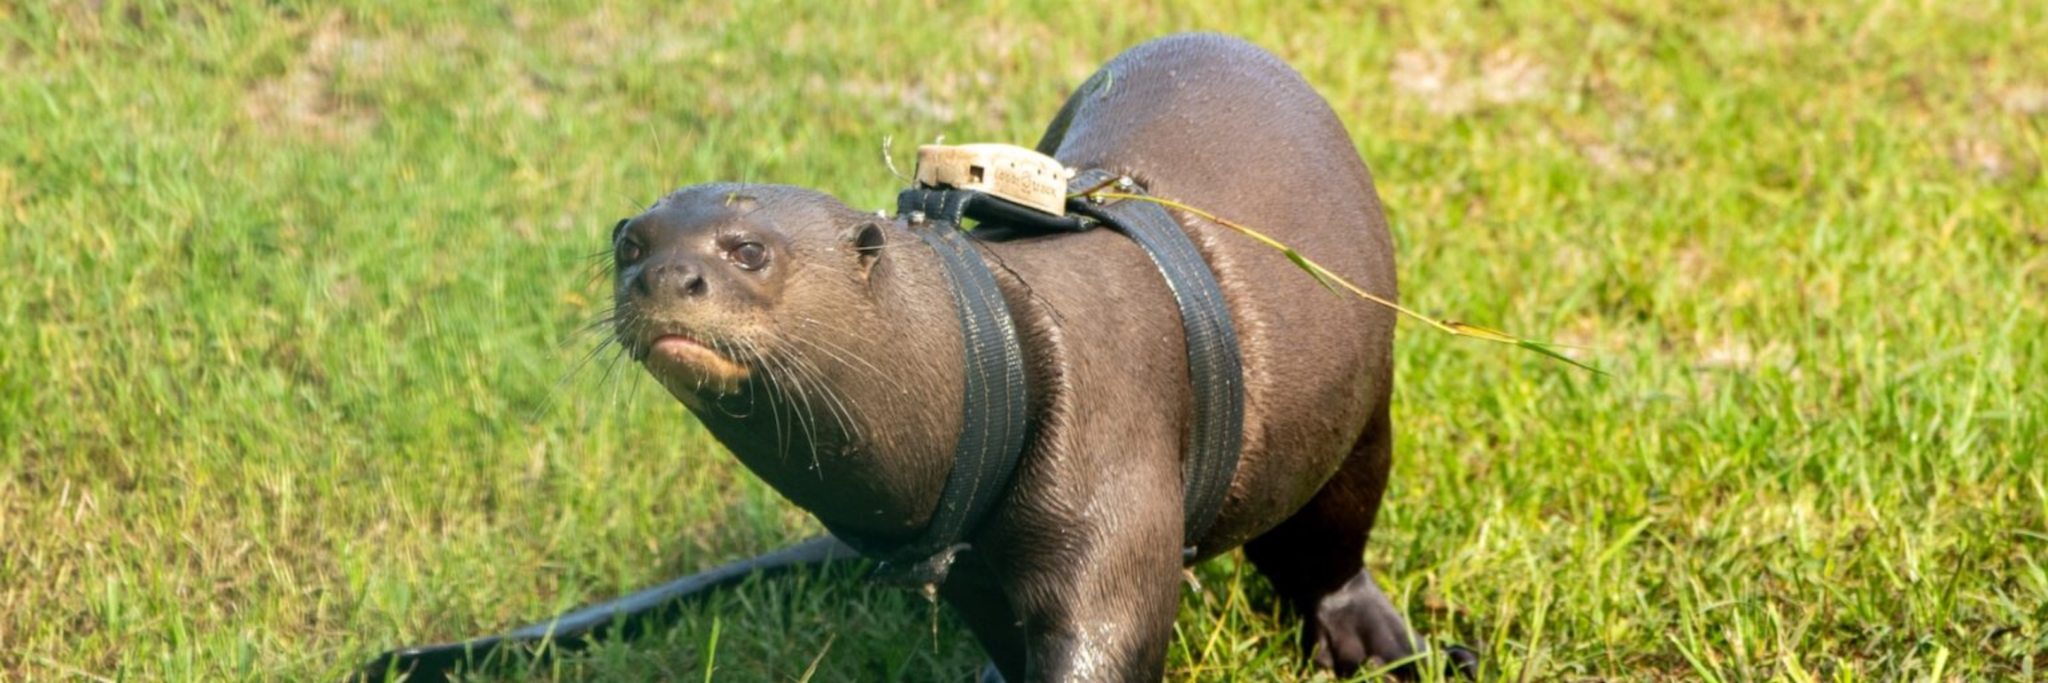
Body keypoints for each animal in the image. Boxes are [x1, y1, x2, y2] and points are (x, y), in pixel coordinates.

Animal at [360, 33, 1472, 683]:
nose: (662, 280)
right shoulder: (974, 565)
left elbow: (1103, 638)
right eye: (629, 243)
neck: (1002, 365)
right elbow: (1002, 638)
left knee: (1328, 541)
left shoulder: (1111, 480)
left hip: (1357, 416)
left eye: (745, 250)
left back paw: (1375, 639)